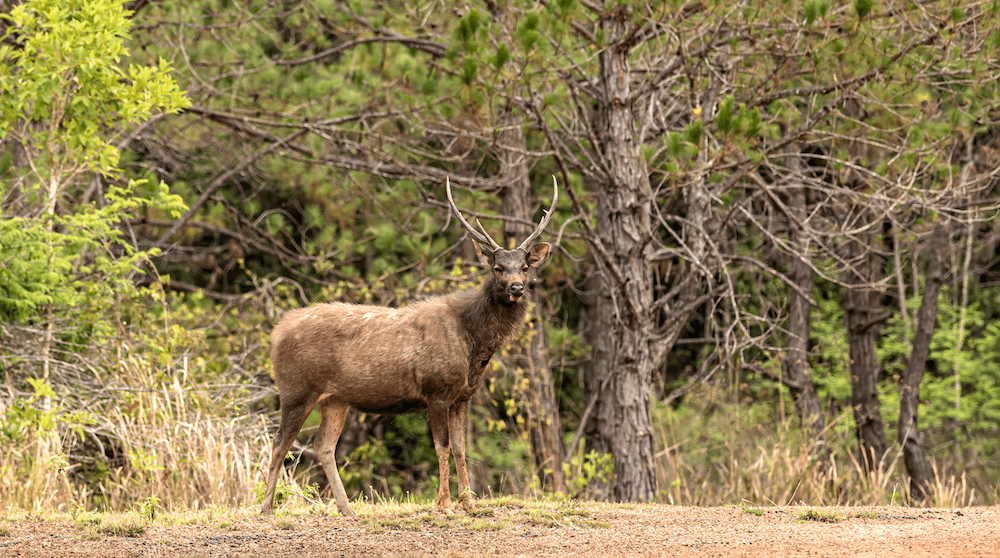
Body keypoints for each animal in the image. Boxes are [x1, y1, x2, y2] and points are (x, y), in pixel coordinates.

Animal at [261, 177, 557, 517]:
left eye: (524, 266)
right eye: (497, 268)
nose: (517, 288)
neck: (473, 343)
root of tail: (276, 333)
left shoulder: (463, 396)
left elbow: (460, 448)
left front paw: (468, 502)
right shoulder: (436, 390)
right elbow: (442, 447)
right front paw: (444, 504)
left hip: (335, 398)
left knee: (323, 444)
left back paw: (347, 509)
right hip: (296, 389)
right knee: (280, 442)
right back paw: (266, 508)